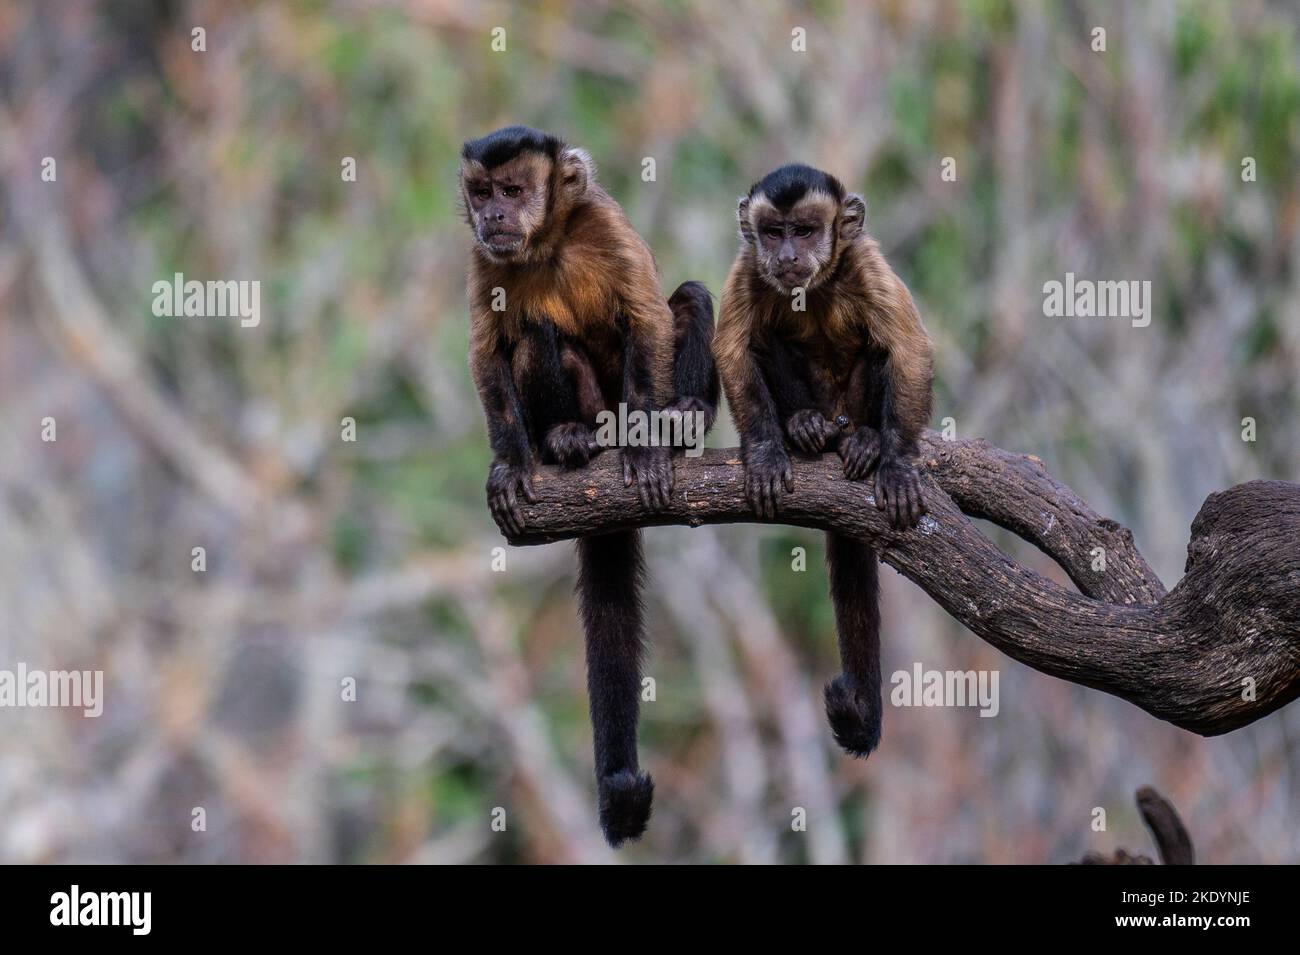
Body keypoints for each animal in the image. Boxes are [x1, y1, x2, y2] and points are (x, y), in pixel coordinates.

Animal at [460, 126, 719, 846]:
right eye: (481, 192)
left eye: (512, 189)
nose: (493, 215)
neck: (546, 245)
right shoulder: (484, 262)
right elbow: (489, 354)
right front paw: (511, 465)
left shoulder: (605, 226)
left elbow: (648, 318)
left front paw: (649, 447)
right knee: (535, 332)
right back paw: (569, 441)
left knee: (687, 298)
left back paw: (678, 421)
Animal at [715, 163, 933, 759]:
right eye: (773, 233)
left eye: (807, 230)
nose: (789, 253)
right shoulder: (749, 269)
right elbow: (734, 351)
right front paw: (766, 451)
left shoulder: (866, 264)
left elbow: (908, 351)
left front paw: (897, 463)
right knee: (763, 341)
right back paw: (804, 428)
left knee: (883, 349)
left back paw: (865, 442)